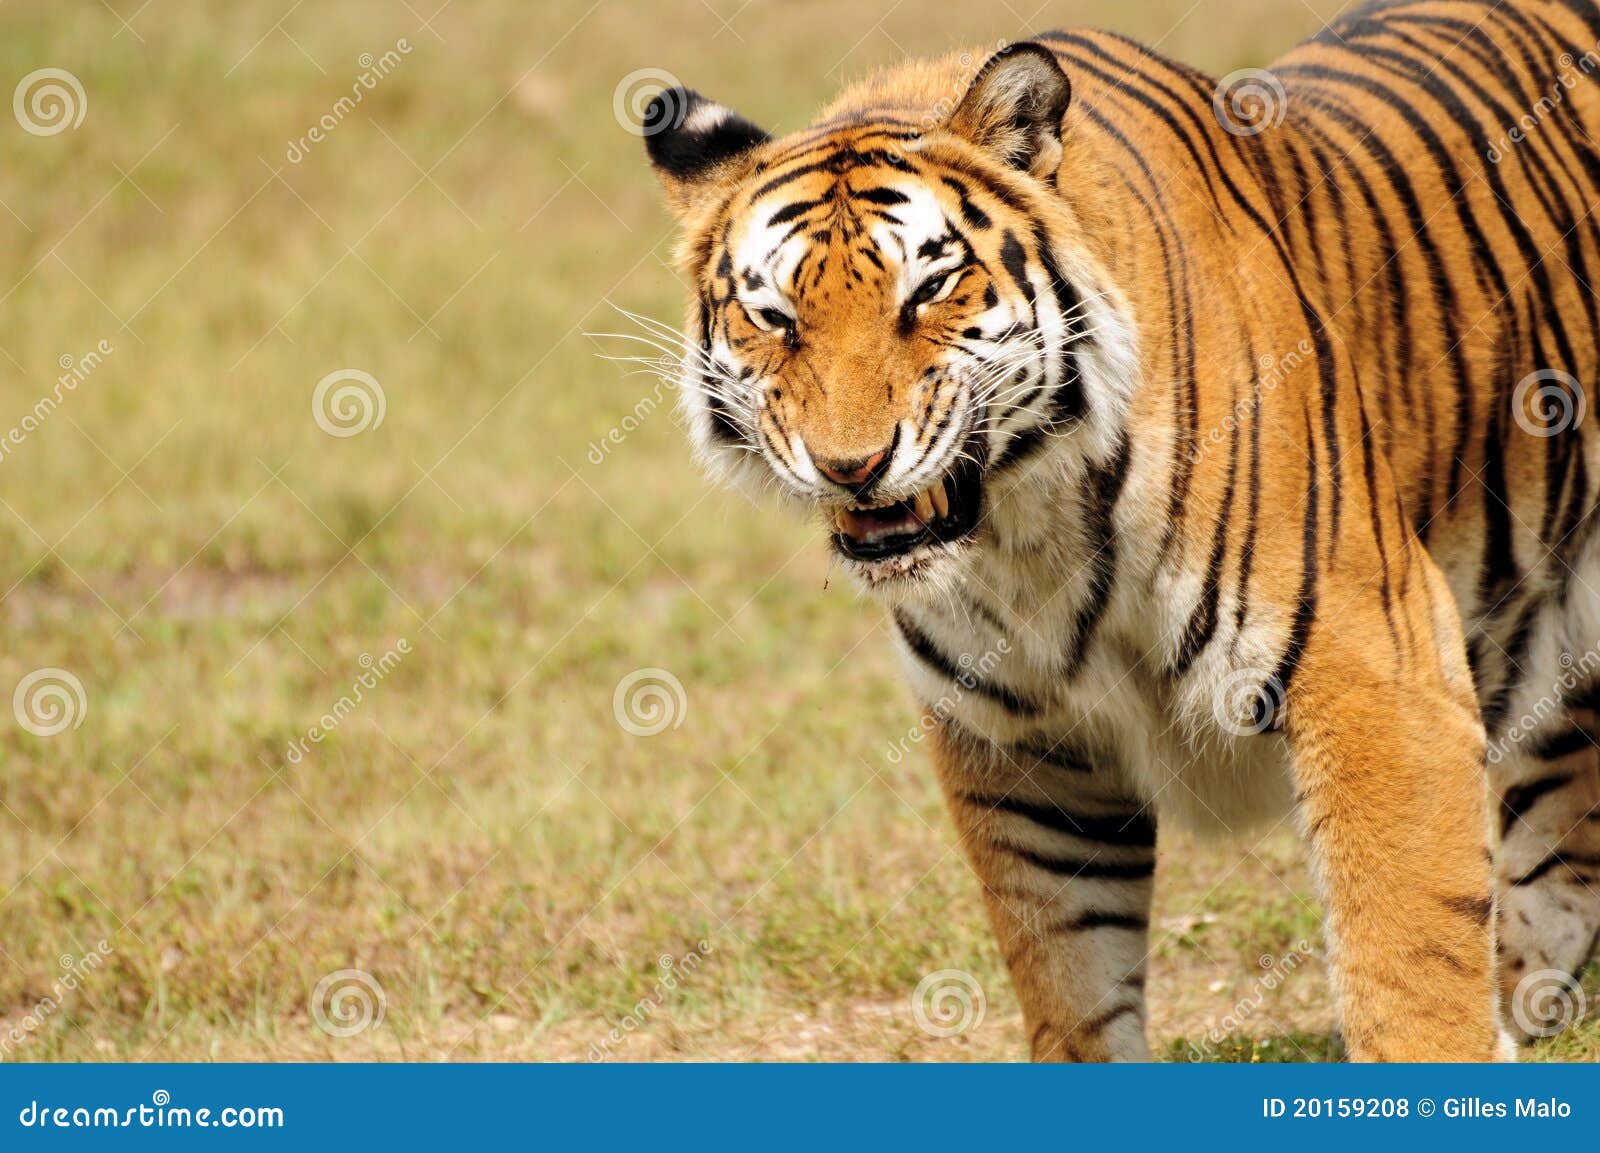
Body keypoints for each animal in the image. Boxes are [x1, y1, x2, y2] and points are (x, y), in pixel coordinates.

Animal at [634, 0, 1600, 1061]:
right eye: (774, 317)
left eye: (926, 294)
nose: (849, 464)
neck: (1024, 526)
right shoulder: (1022, 748)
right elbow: (1072, 981)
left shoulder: (1374, 665)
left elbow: (1410, 970)